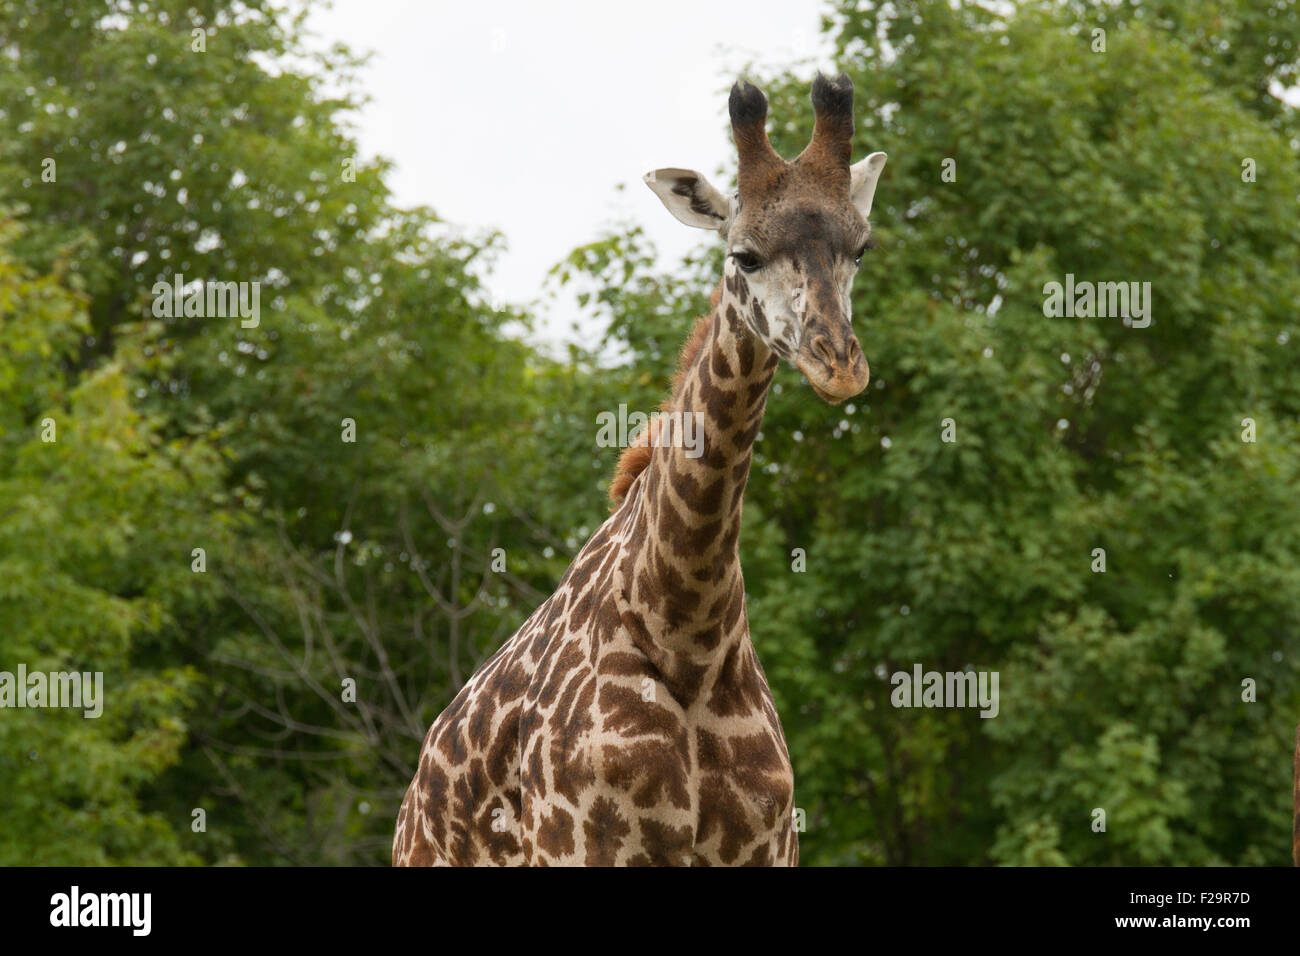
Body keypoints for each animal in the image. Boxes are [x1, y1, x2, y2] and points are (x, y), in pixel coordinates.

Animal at [393, 73, 887, 866]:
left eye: (861, 247)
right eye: (745, 255)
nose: (839, 365)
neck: (689, 634)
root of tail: (412, 800)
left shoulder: (769, 847)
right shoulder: (583, 844)